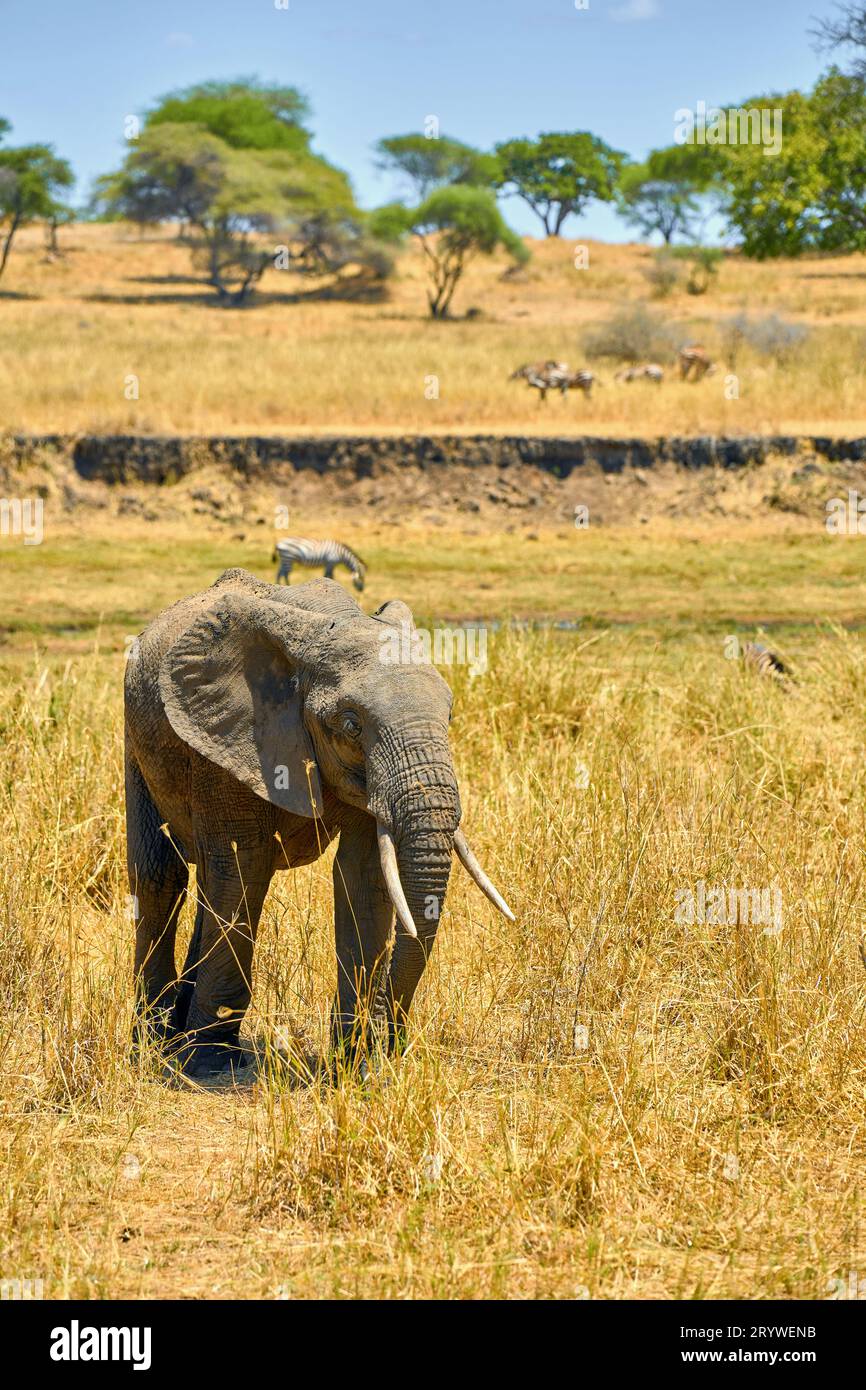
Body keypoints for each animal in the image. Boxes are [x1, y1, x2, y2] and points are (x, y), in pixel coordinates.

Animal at [124, 568, 514, 1080]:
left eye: (448, 714)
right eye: (351, 725)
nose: (393, 1043)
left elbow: (364, 876)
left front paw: (354, 1064)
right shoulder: (226, 740)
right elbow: (244, 865)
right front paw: (209, 1061)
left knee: (204, 879)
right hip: (136, 738)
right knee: (162, 876)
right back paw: (153, 1041)